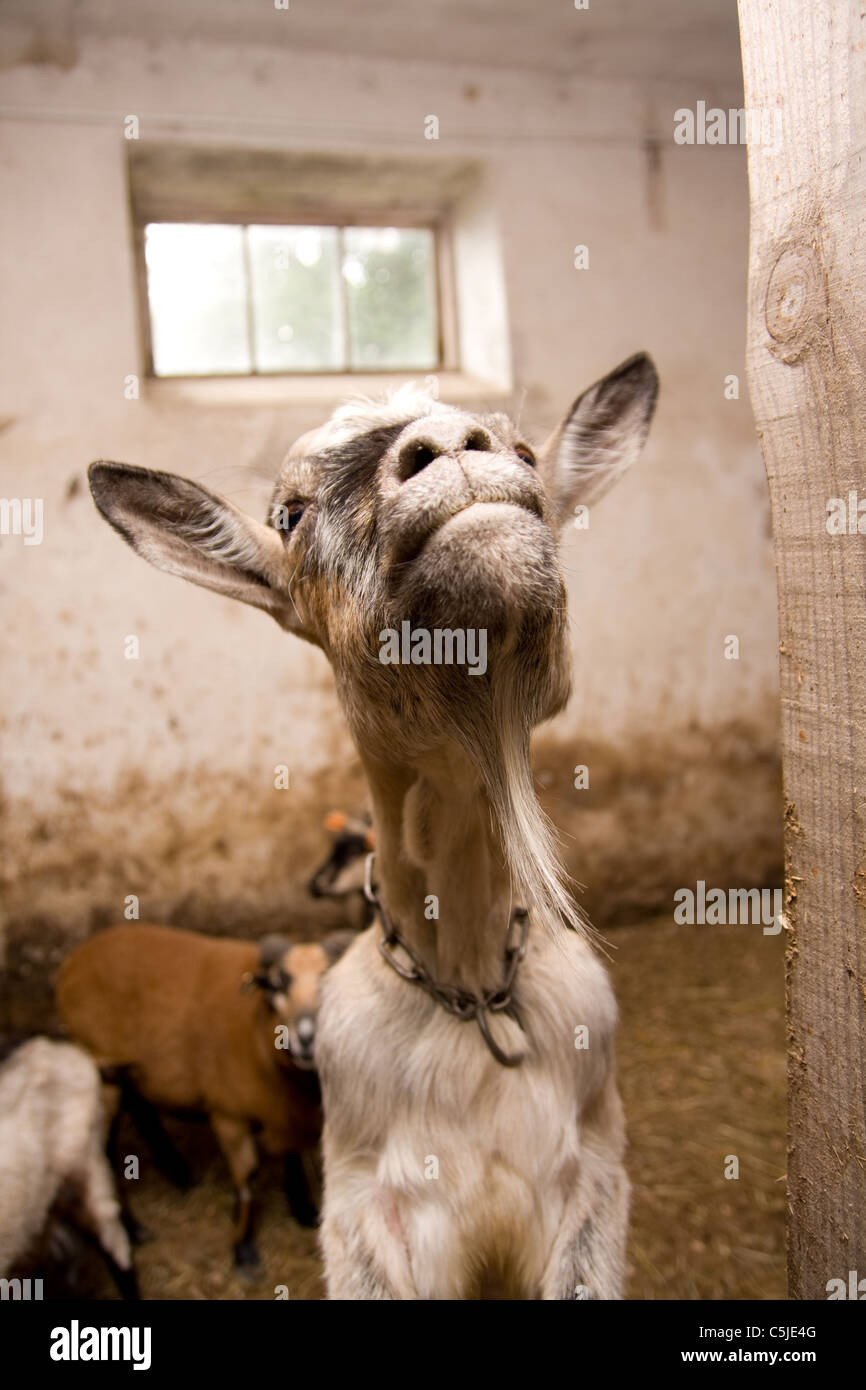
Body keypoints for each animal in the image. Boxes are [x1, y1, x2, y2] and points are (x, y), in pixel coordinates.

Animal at [57, 924, 353, 1269]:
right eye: (276, 985)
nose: (307, 1037)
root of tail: (75, 959)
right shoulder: (228, 1113)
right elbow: (247, 1176)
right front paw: (243, 1248)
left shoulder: (282, 1108)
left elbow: (291, 1156)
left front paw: (302, 1208)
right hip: (101, 1063)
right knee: (102, 1148)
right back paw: (133, 1229)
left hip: (128, 1069)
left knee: (141, 1107)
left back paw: (178, 1172)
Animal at [86, 354, 658, 1298]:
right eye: (289, 513)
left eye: (526, 452)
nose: (449, 445)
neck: (472, 991)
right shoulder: (362, 1210)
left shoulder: (597, 1177)